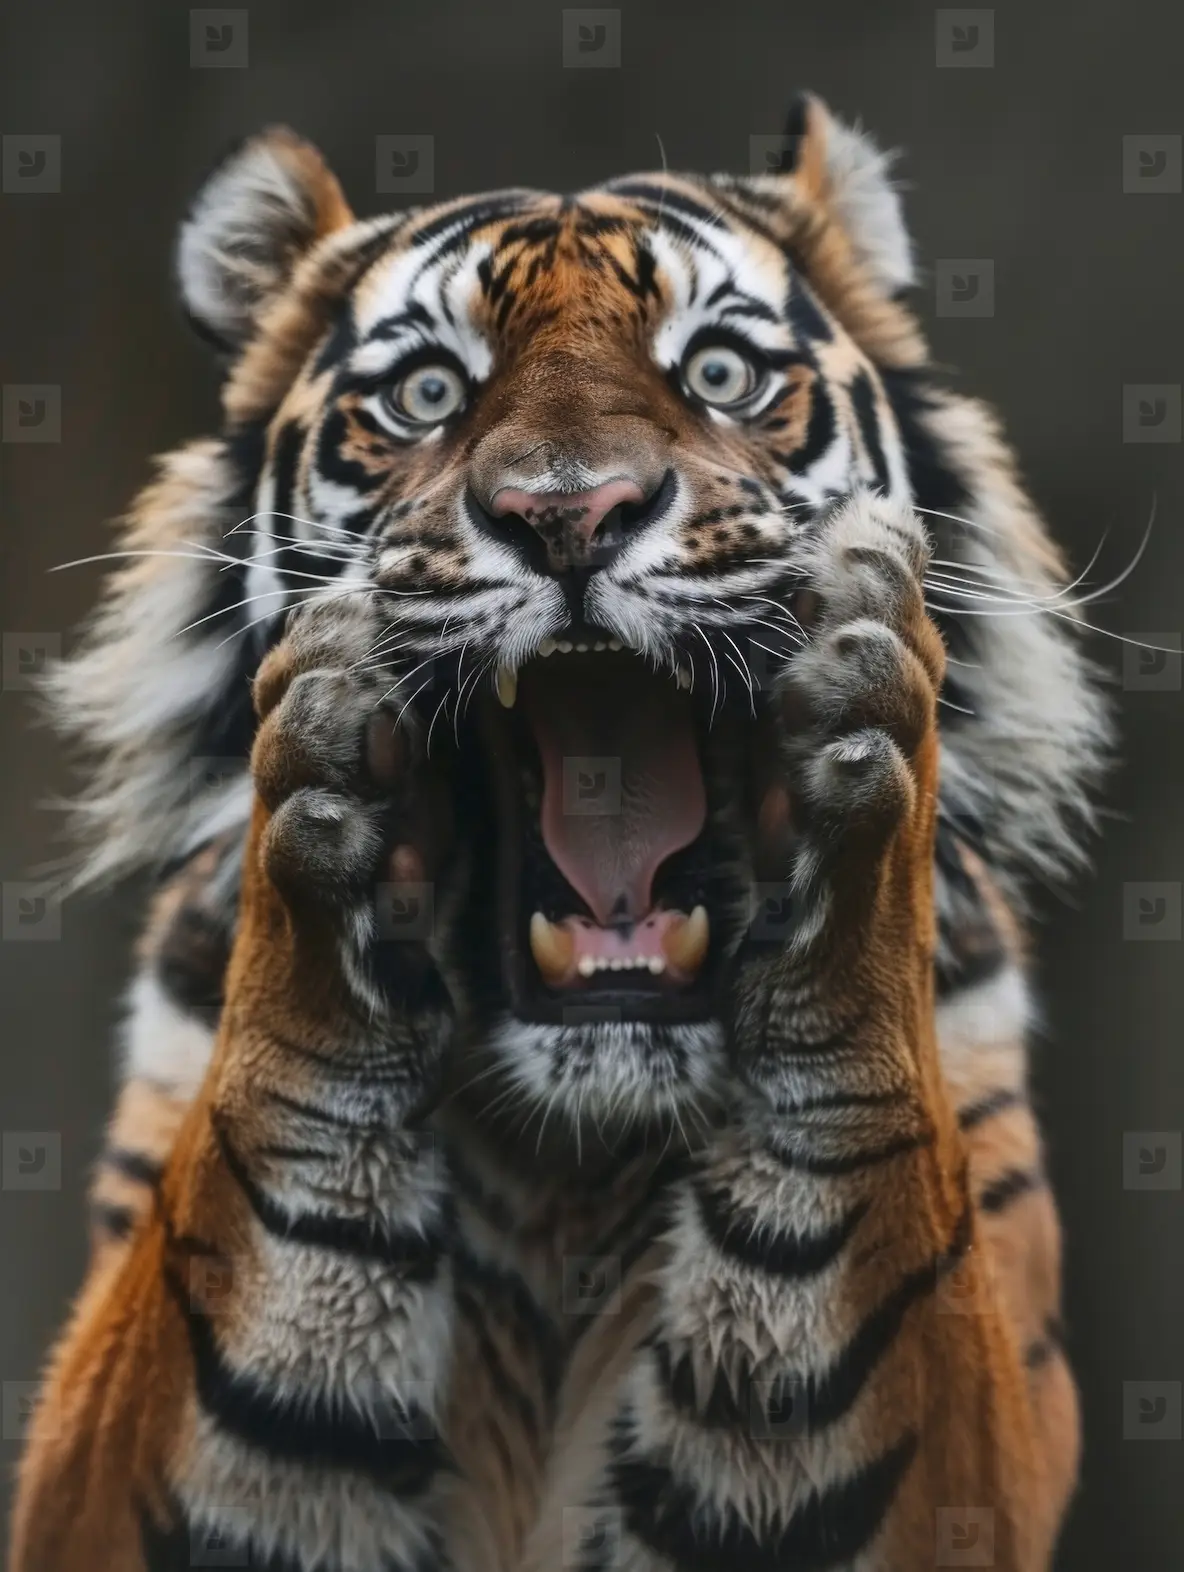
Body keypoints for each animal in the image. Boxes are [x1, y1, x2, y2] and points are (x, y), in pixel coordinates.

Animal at [10, 91, 1106, 1572]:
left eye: (719, 375)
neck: (566, 1168)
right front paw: (331, 817)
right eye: (426, 394)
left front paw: (854, 770)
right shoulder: (99, 1471)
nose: (569, 511)